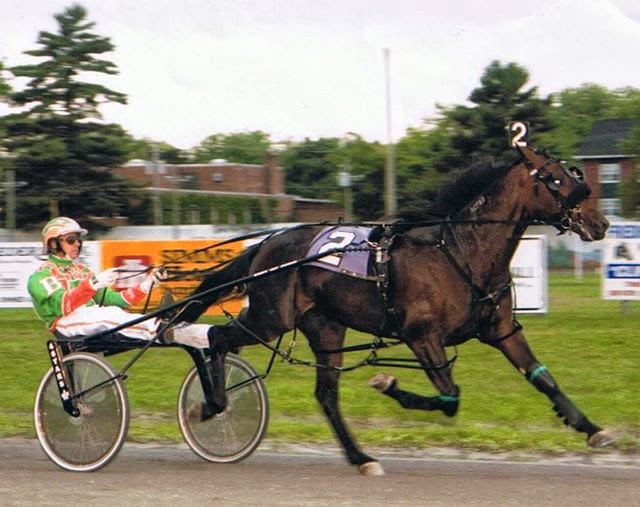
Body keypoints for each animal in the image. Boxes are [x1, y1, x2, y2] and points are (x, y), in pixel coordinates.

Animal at [180, 146, 612, 475]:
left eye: (571, 172)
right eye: (554, 178)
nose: (601, 222)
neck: (461, 252)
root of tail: (266, 244)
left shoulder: (502, 330)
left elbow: (544, 379)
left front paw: (592, 428)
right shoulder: (422, 337)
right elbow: (450, 396)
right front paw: (387, 384)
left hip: (326, 328)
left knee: (326, 395)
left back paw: (360, 458)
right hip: (271, 317)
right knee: (217, 338)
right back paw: (212, 403)